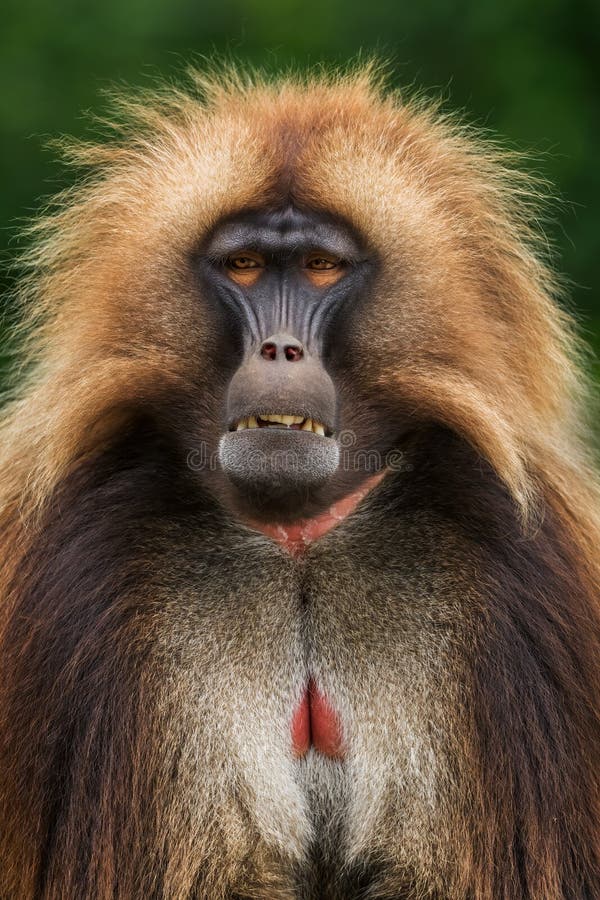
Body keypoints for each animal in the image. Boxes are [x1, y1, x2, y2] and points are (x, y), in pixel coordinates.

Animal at [0, 63, 598, 900]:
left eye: (321, 267)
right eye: (244, 266)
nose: (280, 350)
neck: (296, 543)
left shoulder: (519, 581)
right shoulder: (82, 587)